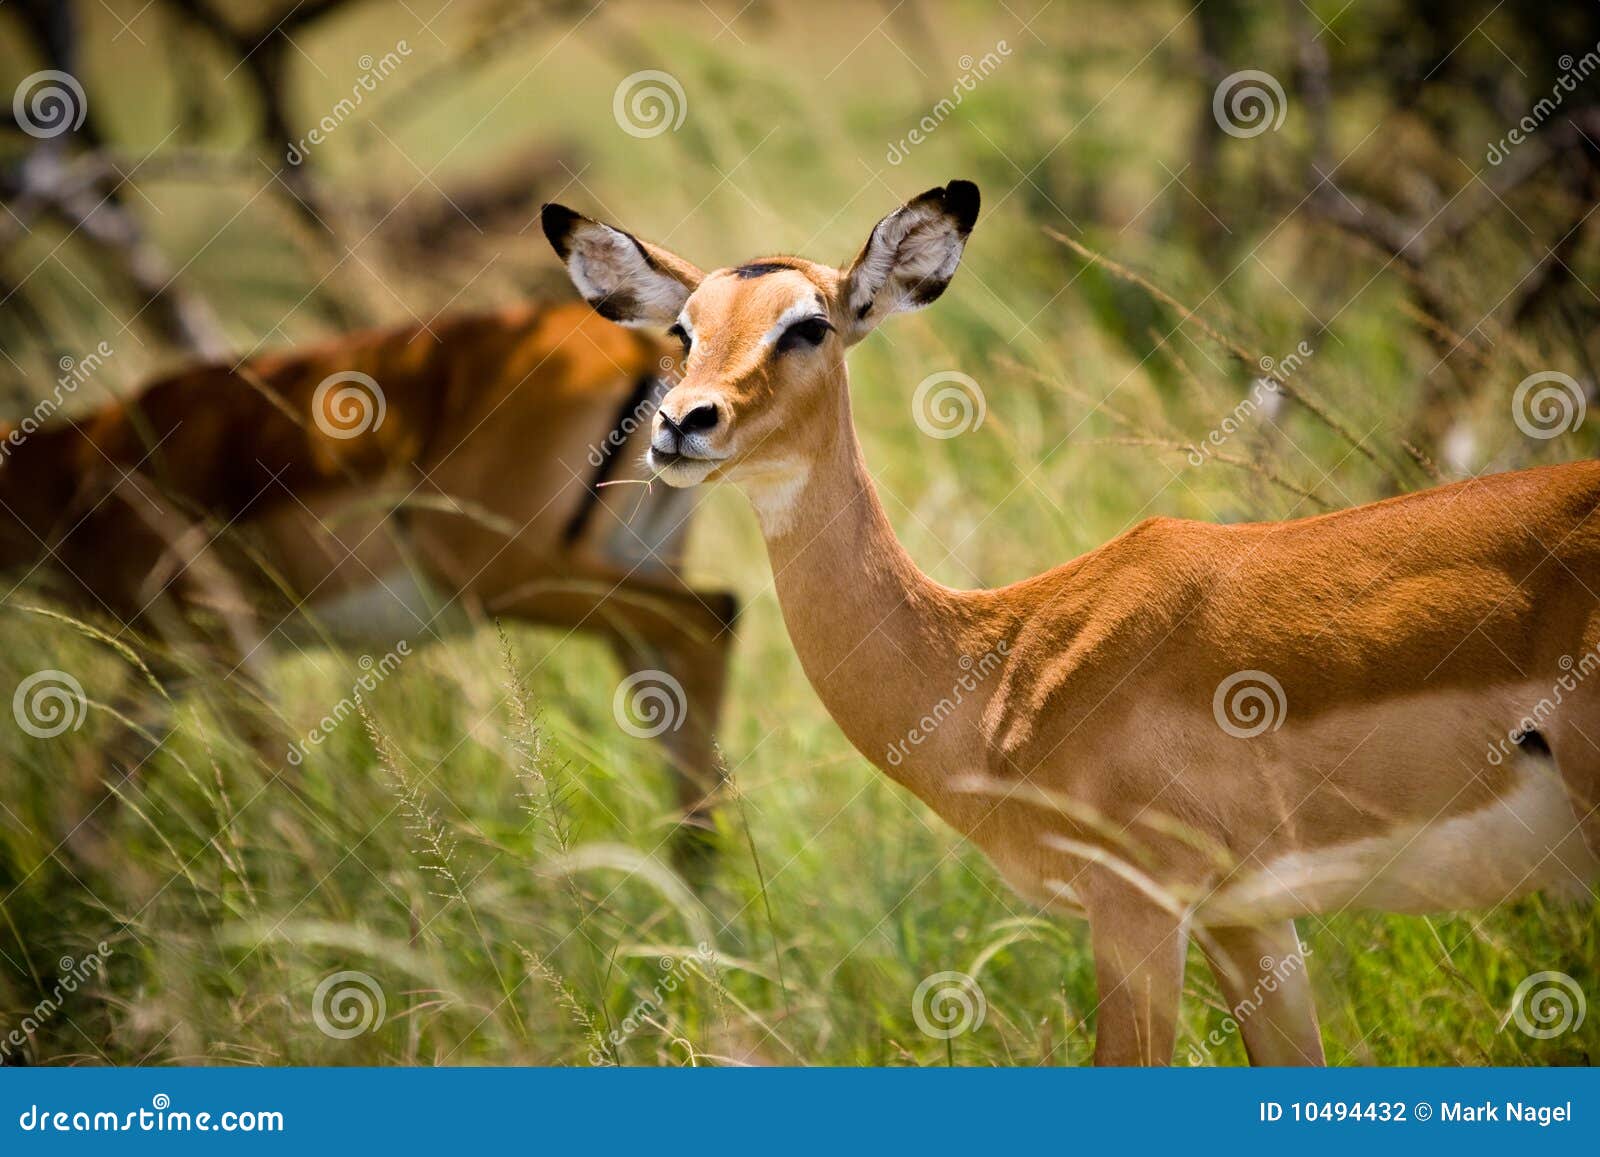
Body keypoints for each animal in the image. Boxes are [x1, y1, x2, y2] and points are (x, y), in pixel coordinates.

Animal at [0, 302, 735, 870]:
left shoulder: (221, 641)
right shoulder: (162, 668)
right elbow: (81, 821)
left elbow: (286, 789)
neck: (68, 470)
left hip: (506, 575)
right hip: (620, 576)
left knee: (714, 614)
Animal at [541, 181, 1600, 1064]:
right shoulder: (1249, 919)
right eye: (684, 327)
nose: (682, 422)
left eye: (808, 324)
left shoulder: (1136, 905)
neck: (1002, 660)